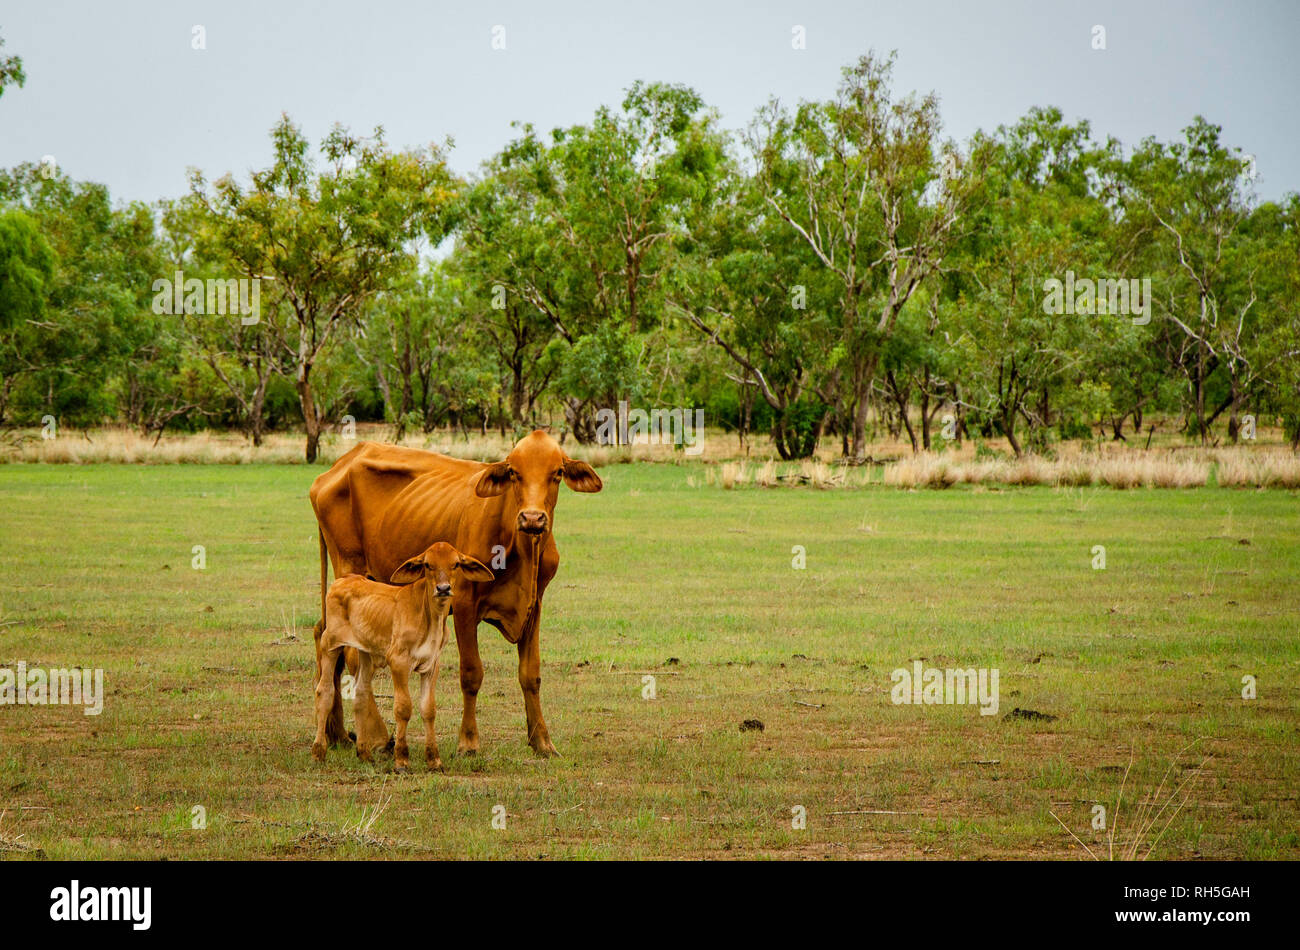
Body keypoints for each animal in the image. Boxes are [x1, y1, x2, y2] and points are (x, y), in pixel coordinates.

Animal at [313, 541, 495, 771]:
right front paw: (401, 760)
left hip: (366, 653)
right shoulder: (398, 661)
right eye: (428, 565)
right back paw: (318, 751)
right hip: (331, 644)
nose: (443, 589)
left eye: (455, 564)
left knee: (360, 694)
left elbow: (428, 709)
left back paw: (364, 753)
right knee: (324, 692)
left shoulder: (432, 664)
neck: (430, 617)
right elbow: (403, 708)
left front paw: (434, 760)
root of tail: (342, 580)